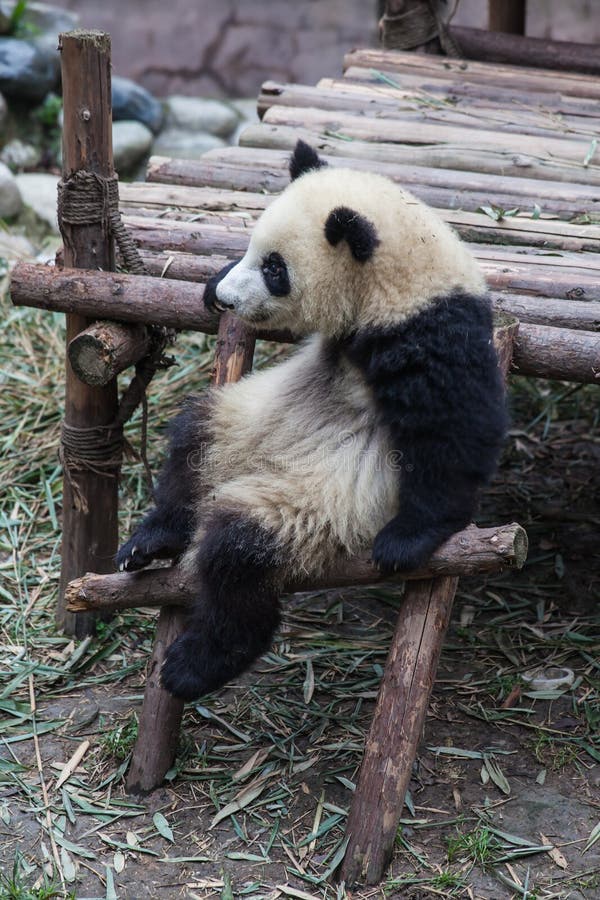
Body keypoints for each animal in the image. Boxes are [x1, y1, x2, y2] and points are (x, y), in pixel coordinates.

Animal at [116, 140, 508, 701]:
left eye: (275, 270)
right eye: (252, 250)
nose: (229, 298)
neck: (399, 284)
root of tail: (263, 464)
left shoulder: (430, 332)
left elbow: (456, 427)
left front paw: (410, 538)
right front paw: (212, 283)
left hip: (331, 500)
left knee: (241, 547)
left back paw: (197, 663)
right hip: (249, 417)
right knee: (196, 437)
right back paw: (154, 538)